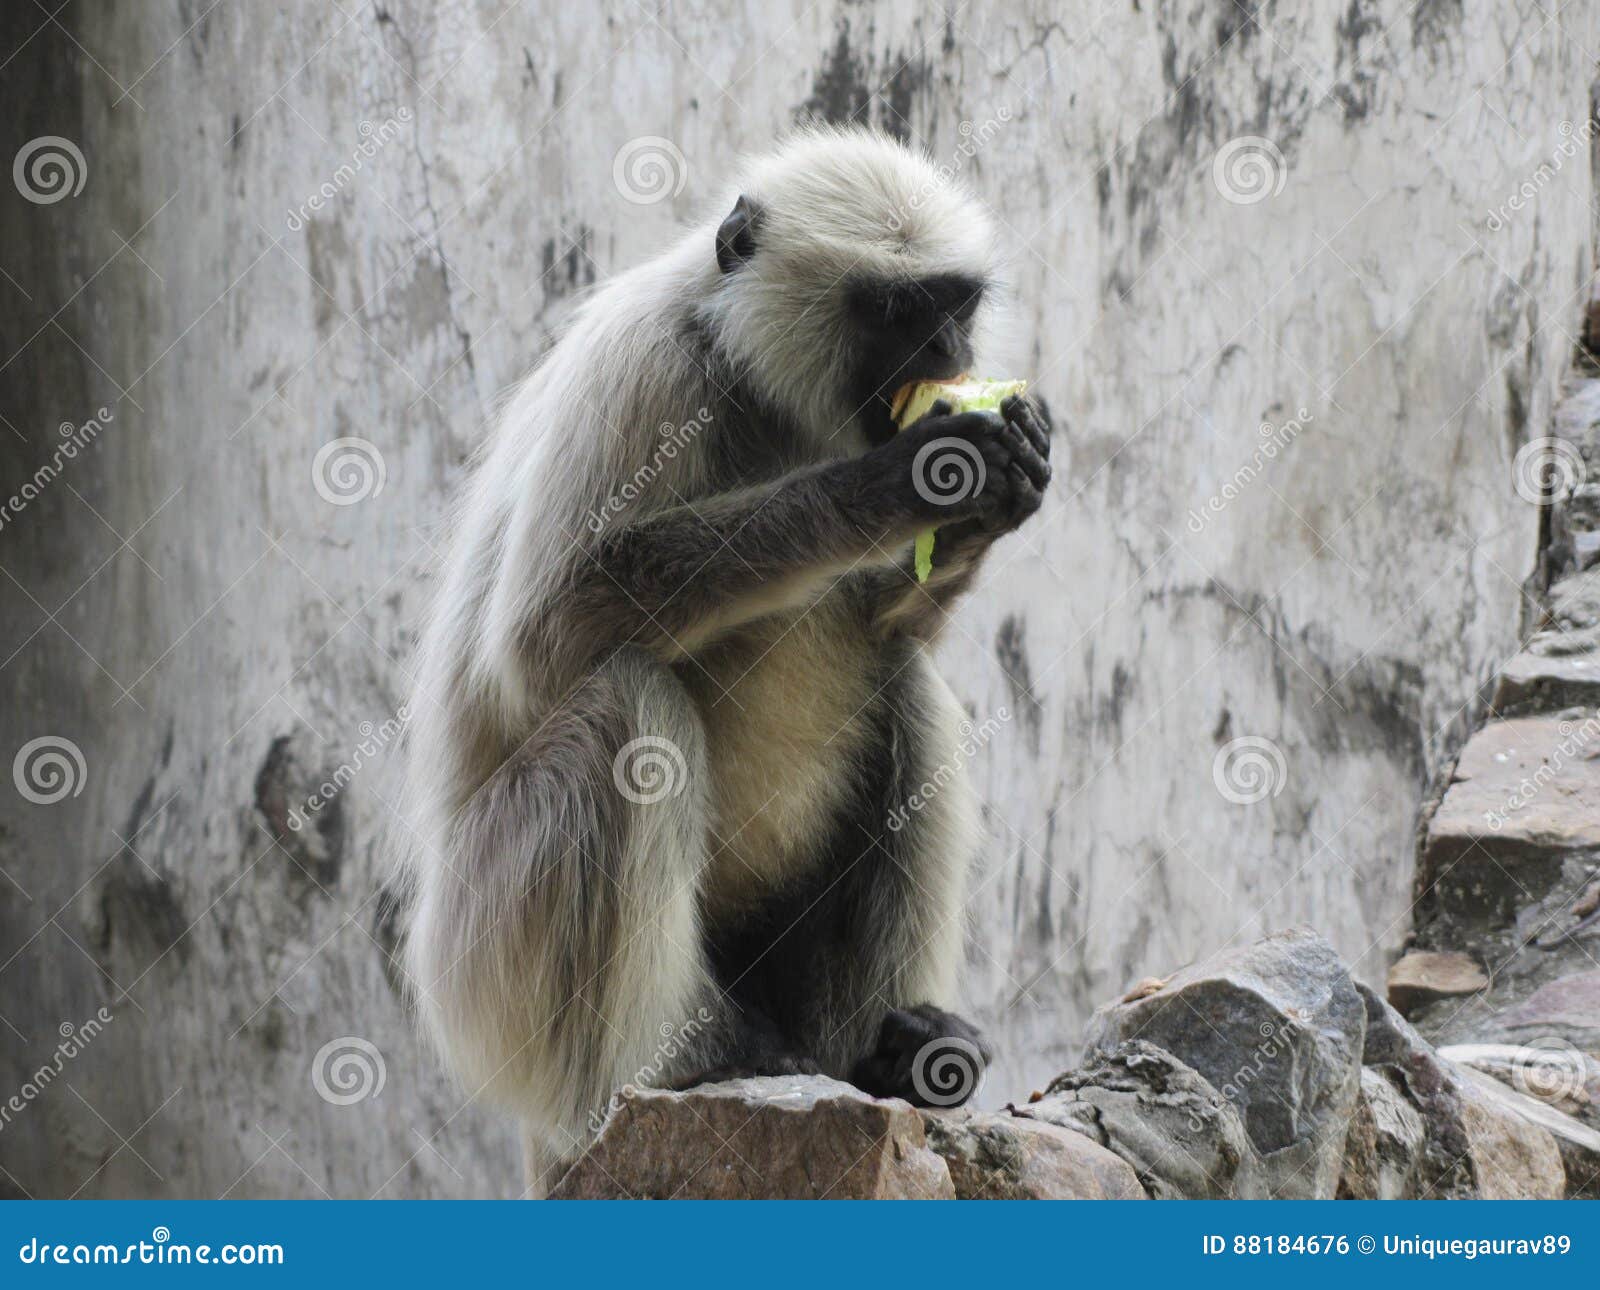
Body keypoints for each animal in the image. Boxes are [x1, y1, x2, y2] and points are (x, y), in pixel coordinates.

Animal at [397, 126, 1053, 1193]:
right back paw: (687, 1062)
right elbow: (542, 641)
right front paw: (902, 484)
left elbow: (887, 630)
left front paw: (1008, 475)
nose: (950, 355)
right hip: (484, 967)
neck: (752, 381)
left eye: (955, 307)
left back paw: (890, 1061)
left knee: (904, 684)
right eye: (892, 312)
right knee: (628, 704)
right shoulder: (646, 368)